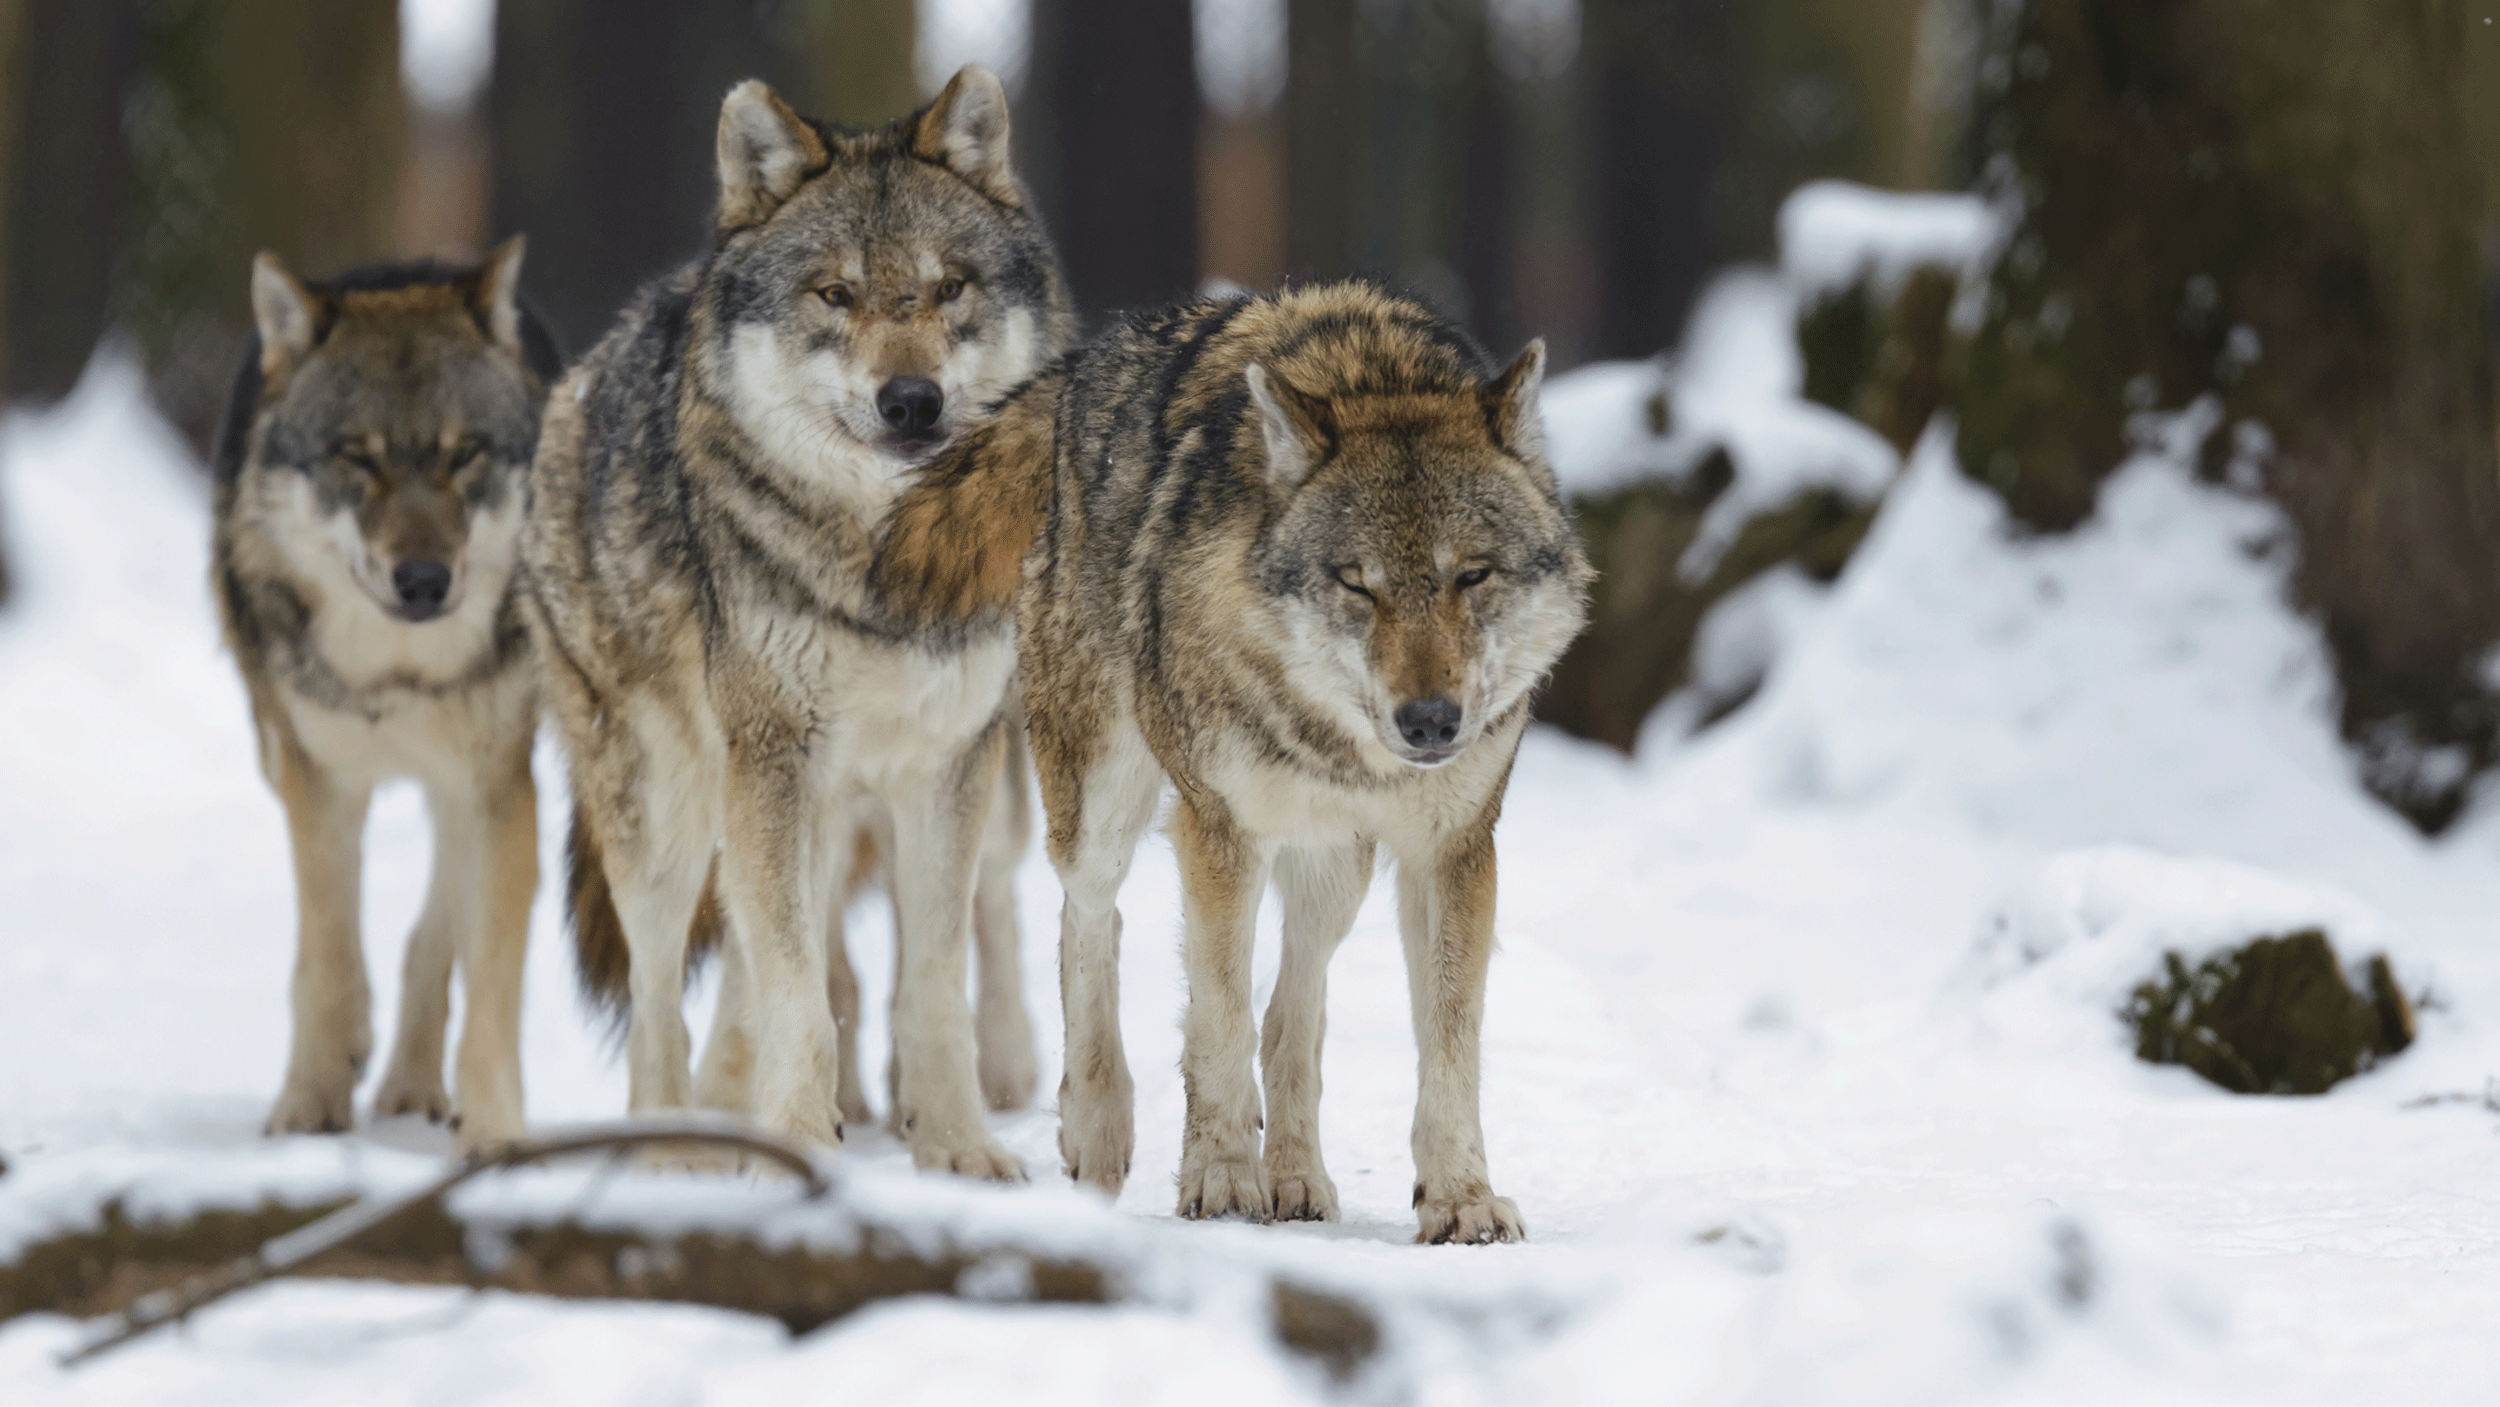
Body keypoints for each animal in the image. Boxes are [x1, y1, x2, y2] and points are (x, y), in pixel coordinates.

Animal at [213, 241, 562, 1152]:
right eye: (357, 456)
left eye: (464, 452)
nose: (424, 580)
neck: (400, 677)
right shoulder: (319, 781)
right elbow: (329, 958)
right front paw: (308, 1105)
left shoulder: (495, 785)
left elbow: (490, 982)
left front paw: (497, 1135)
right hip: (278, 750)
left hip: (469, 785)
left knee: (436, 933)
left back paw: (411, 1079)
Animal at [525, 67, 1071, 1173]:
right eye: (834, 294)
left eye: (949, 289)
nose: (912, 400)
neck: (887, 563)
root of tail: (577, 381)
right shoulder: (776, 760)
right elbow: (797, 997)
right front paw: (797, 1144)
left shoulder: (946, 762)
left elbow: (930, 986)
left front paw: (958, 1148)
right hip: (671, 807)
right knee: (663, 990)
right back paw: (674, 1145)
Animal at [875, 282, 1593, 1241]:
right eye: (1357, 583)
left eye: (1471, 575)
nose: (1432, 722)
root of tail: (1090, 359)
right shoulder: (1219, 833)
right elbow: (1216, 1023)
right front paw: (1218, 1179)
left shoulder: (1454, 851)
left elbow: (1448, 1043)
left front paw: (1460, 1199)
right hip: (1104, 801)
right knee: (1089, 921)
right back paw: (1098, 1128)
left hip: (1335, 865)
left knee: (1294, 1003)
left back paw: (1295, 1179)